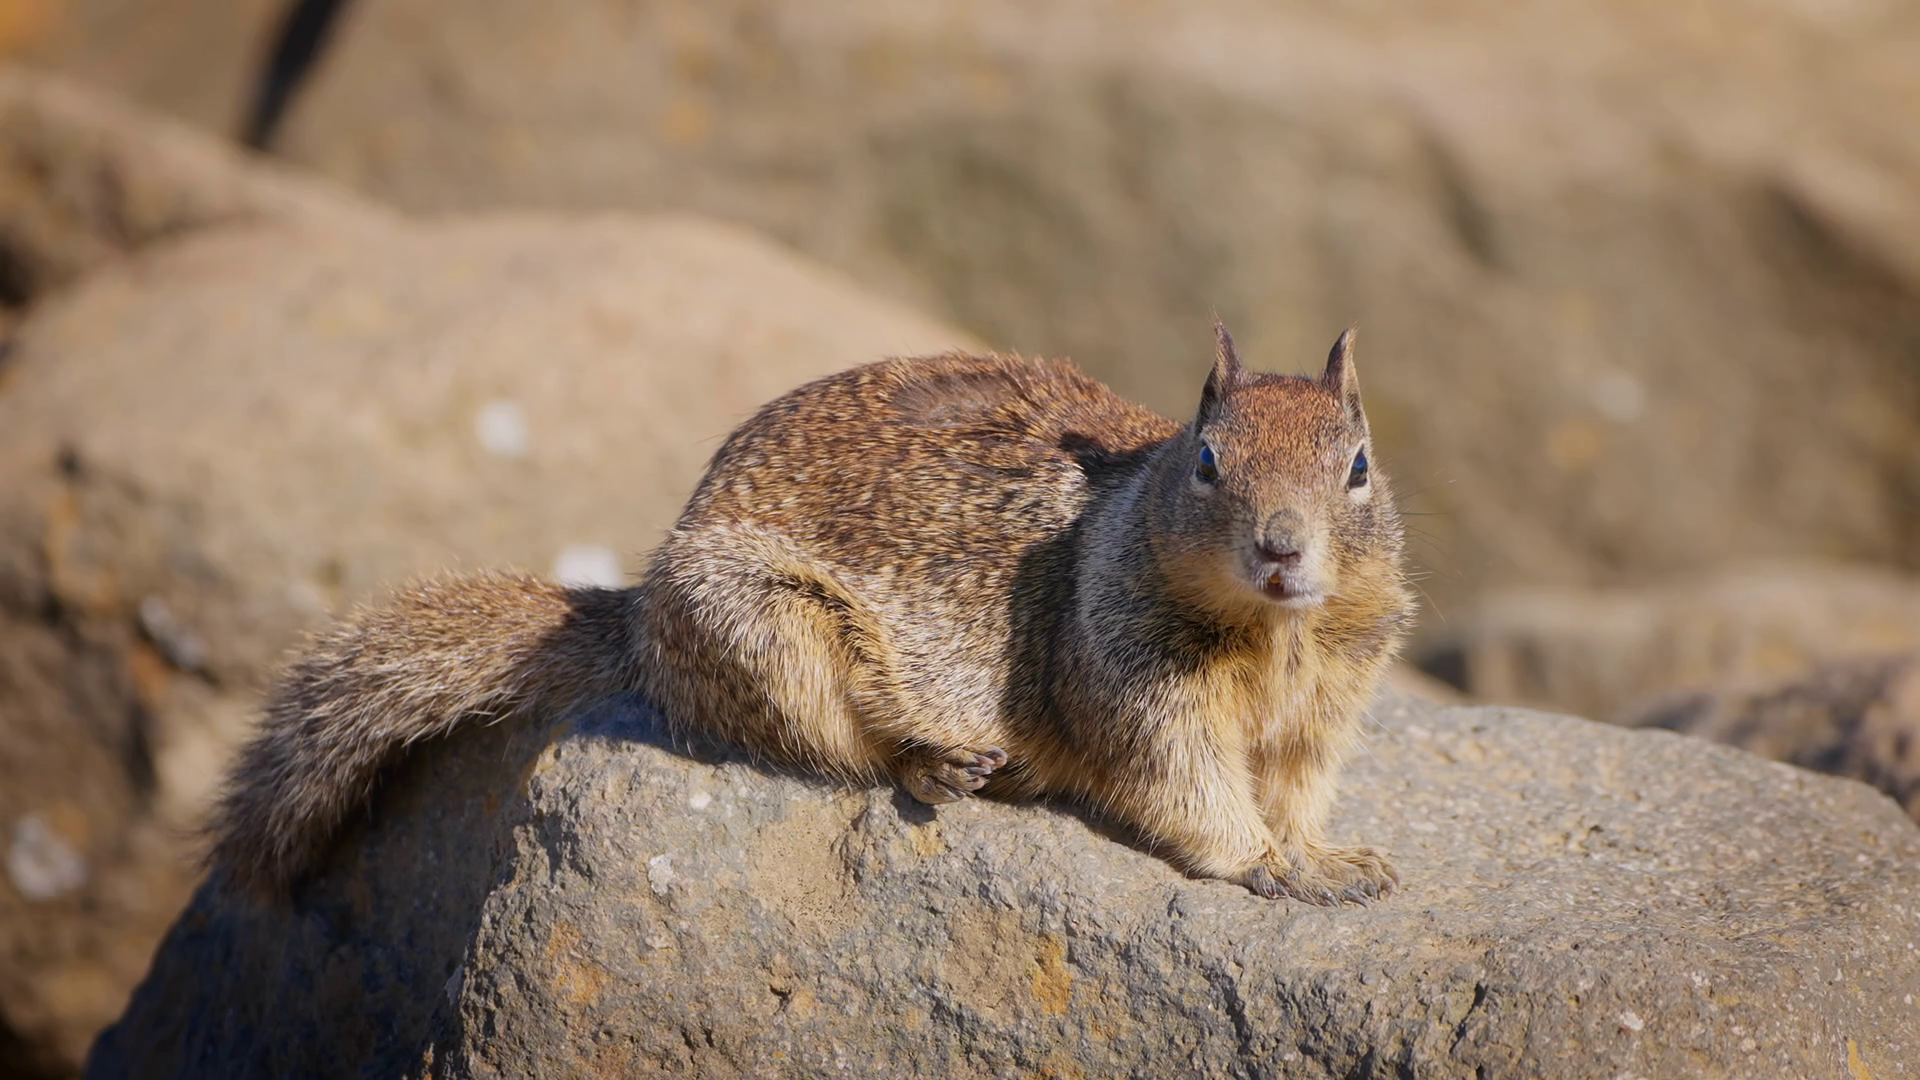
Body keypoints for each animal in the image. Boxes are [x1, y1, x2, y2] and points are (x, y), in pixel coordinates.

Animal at [209, 323, 1414, 905]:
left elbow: (1299, 788)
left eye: (1359, 468)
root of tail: (639, 615)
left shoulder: (1331, 706)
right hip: (772, 635)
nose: (1280, 549)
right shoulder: (1128, 674)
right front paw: (1267, 864)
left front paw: (1332, 857)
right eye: (1207, 463)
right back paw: (942, 763)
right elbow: (1186, 784)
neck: (1277, 639)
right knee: (849, 753)